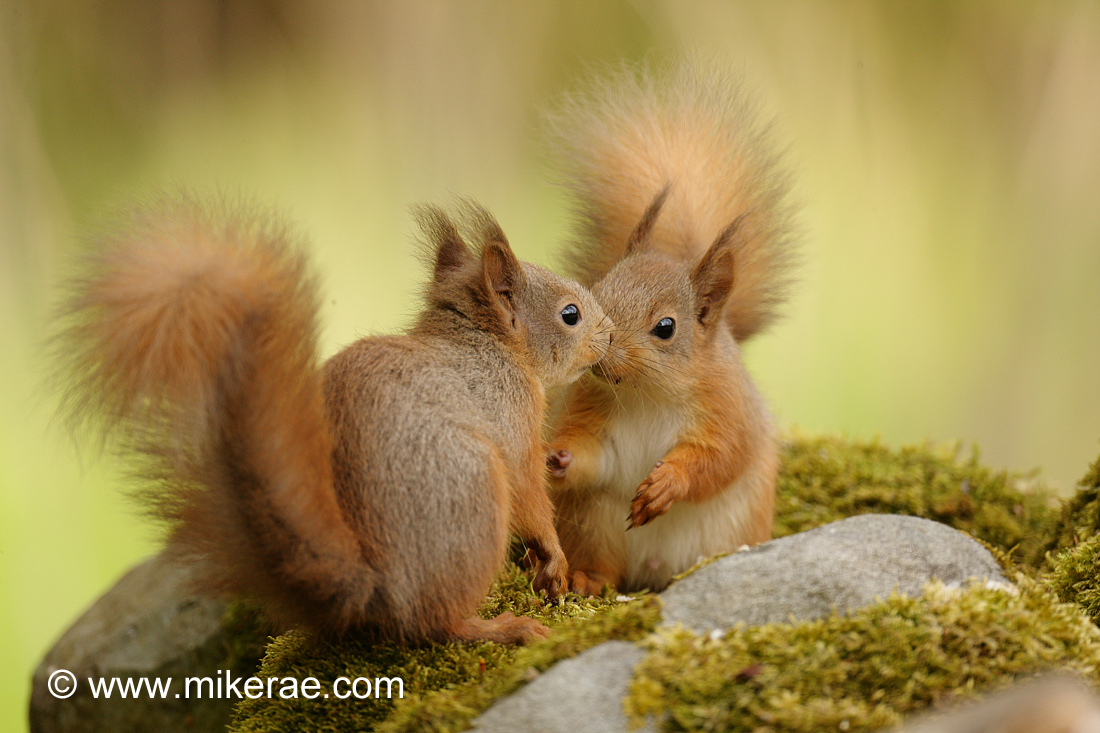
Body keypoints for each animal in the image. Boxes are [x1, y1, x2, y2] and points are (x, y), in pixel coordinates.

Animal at [55, 195, 612, 644]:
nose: (609, 333)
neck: (488, 344)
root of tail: (377, 592)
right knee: (435, 624)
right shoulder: (509, 420)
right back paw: (501, 629)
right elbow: (532, 497)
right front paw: (555, 560)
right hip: (472, 499)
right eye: (570, 314)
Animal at [543, 62, 796, 595]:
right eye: (595, 294)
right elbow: (592, 457)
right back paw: (587, 580)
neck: (649, 394)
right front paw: (556, 457)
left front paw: (669, 482)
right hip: (593, 523)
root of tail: (653, 574)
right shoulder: (593, 410)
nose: (599, 351)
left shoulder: (727, 411)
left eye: (665, 327)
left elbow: (718, 459)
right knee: (605, 564)